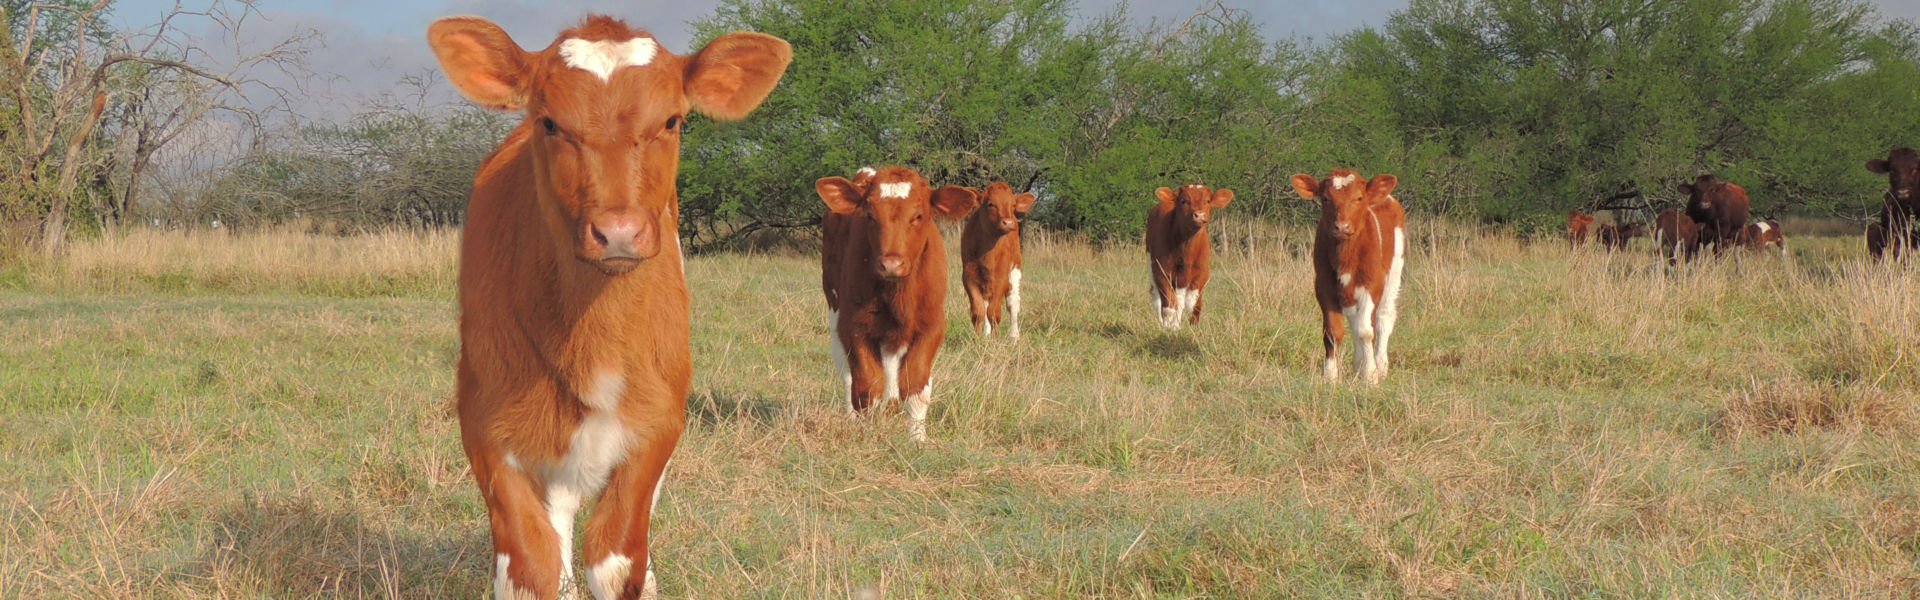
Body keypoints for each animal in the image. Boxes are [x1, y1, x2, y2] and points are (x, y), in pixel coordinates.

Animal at [428, 15, 789, 600]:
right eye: (549, 122)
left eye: (673, 120)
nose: (618, 231)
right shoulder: (485, 422)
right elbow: (531, 564)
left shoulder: (657, 421)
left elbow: (618, 559)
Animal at [817, 166, 978, 441]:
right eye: (870, 215)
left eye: (919, 215)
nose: (891, 264)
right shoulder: (855, 326)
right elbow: (867, 386)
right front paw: (868, 435)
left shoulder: (932, 325)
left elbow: (915, 385)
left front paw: (918, 438)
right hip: (835, 313)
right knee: (847, 374)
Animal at [960, 181, 1036, 338]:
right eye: (990, 204)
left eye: (1013, 205)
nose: (1008, 223)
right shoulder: (968, 276)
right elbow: (979, 310)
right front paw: (977, 337)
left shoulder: (1002, 278)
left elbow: (994, 312)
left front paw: (996, 338)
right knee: (986, 302)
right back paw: (986, 333)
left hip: (1015, 267)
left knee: (1013, 302)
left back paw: (1014, 335)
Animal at [1145, 183, 1234, 329]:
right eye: (1183, 200)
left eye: (1208, 201)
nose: (1199, 215)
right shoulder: (1161, 271)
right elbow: (1169, 305)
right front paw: (1168, 327)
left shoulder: (1202, 274)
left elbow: (1193, 305)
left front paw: (1193, 328)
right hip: (1151, 266)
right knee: (1157, 298)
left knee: (1181, 300)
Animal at [1290, 169, 1406, 384]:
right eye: (1325, 198)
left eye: (1359, 198)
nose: (1342, 226)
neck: (1345, 258)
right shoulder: (1323, 286)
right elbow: (1333, 332)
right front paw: (1330, 374)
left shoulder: (1371, 285)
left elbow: (1366, 332)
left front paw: (1370, 375)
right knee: (1355, 321)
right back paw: (1358, 363)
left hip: (1395, 270)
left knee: (1383, 319)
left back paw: (1380, 365)